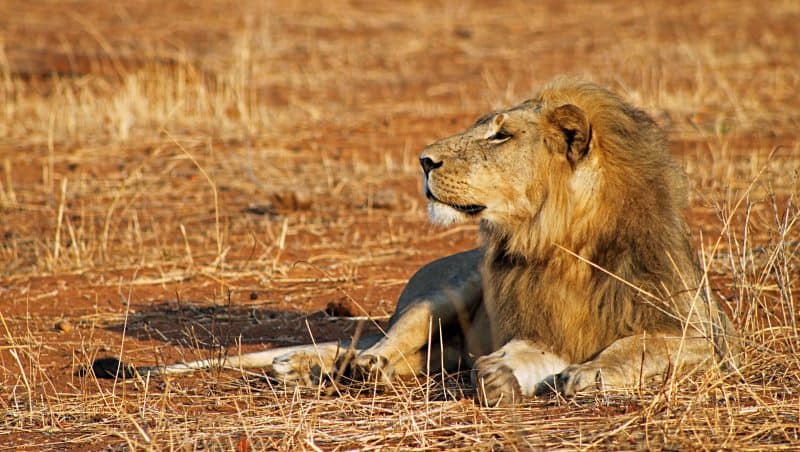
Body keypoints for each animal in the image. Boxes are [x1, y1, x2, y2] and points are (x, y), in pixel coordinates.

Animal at [92, 78, 739, 406]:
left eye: (500, 135)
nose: (424, 160)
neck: (560, 244)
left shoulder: (709, 339)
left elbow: (639, 345)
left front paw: (579, 374)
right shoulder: (530, 316)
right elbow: (532, 347)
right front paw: (511, 370)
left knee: (410, 363)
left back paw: (310, 371)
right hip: (444, 288)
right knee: (380, 347)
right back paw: (334, 369)